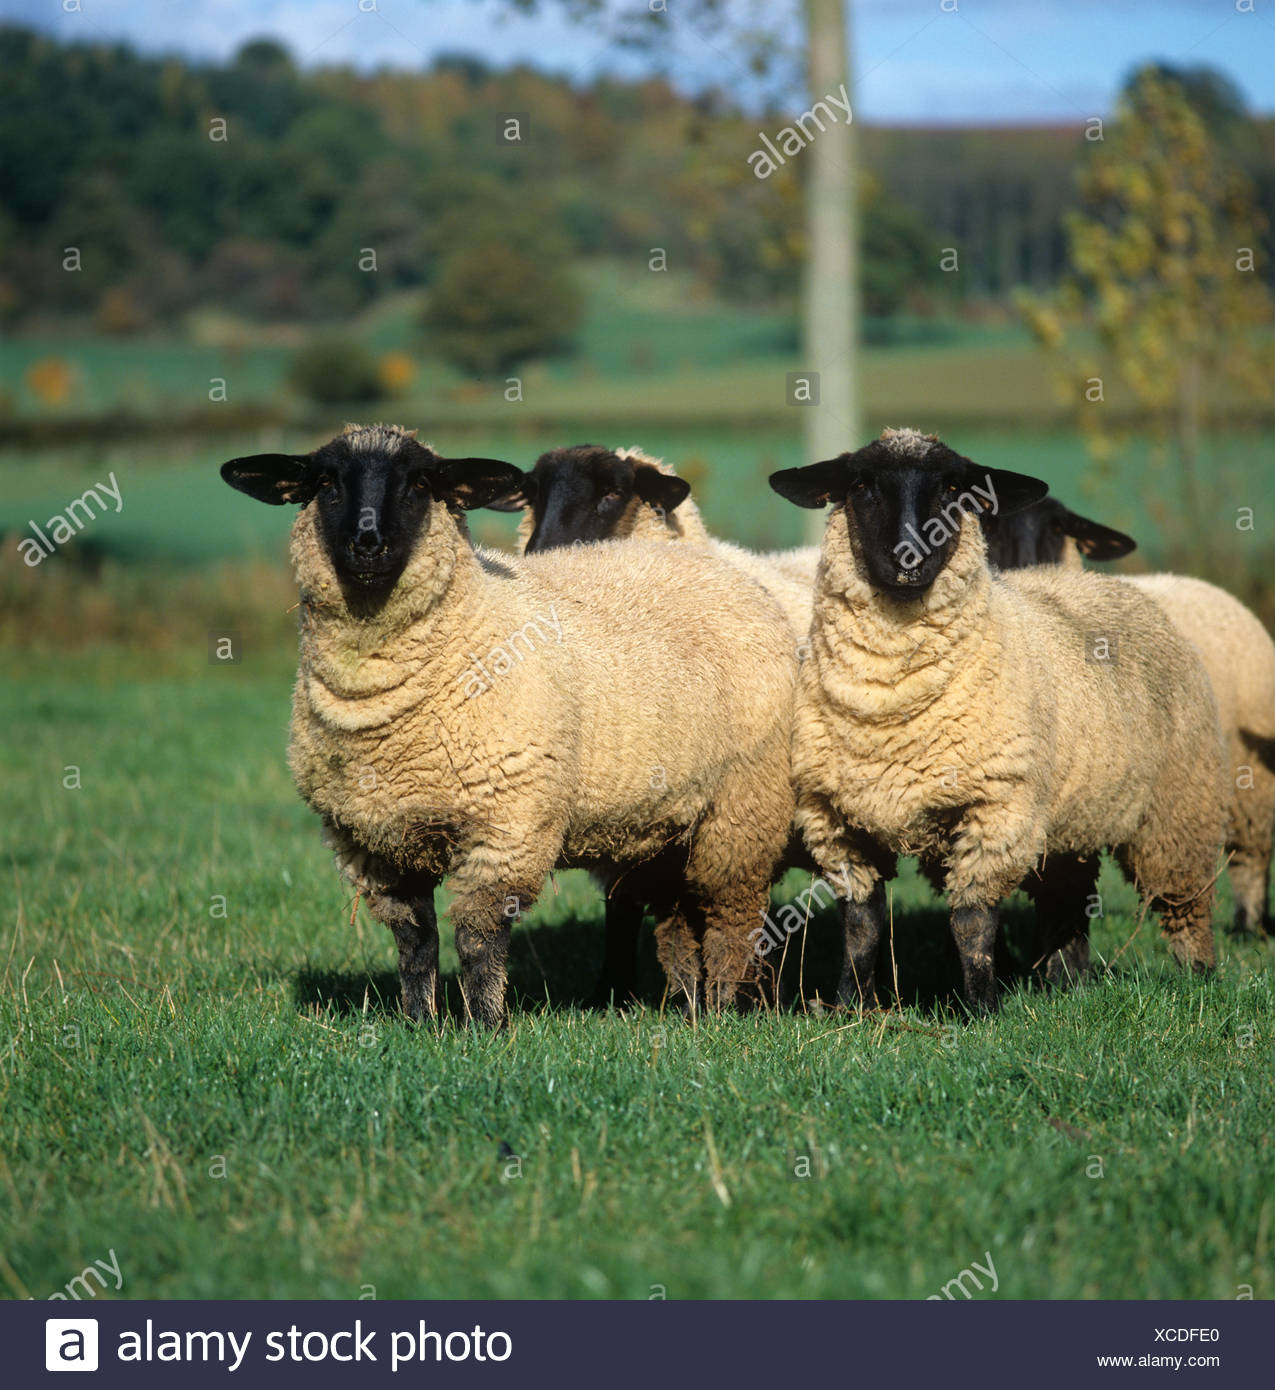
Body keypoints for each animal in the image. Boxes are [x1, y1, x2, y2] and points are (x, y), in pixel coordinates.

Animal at [219, 424, 797, 1027]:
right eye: (325, 482)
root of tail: (722, 568)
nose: (367, 544)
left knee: (731, 919)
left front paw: (486, 1027)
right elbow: (415, 941)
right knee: (679, 923)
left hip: (740, 811)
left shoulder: (507, 823)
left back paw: (724, 1010)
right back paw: (688, 1006)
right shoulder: (374, 840)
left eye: (421, 483)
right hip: (665, 823)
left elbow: (479, 936)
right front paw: (419, 1023)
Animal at [769, 427, 1228, 1013]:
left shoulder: (998, 806)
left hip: (1178, 808)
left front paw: (982, 1009)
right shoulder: (836, 818)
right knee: (1066, 896)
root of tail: (1112, 587)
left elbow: (971, 921)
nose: (908, 556)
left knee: (1185, 900)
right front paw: (851, 1005)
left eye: (953, 488)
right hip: (1073, 815)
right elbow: (861, 923)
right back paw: (1067, 981)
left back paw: (1199, 977)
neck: (890, 707)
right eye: (860, 485)